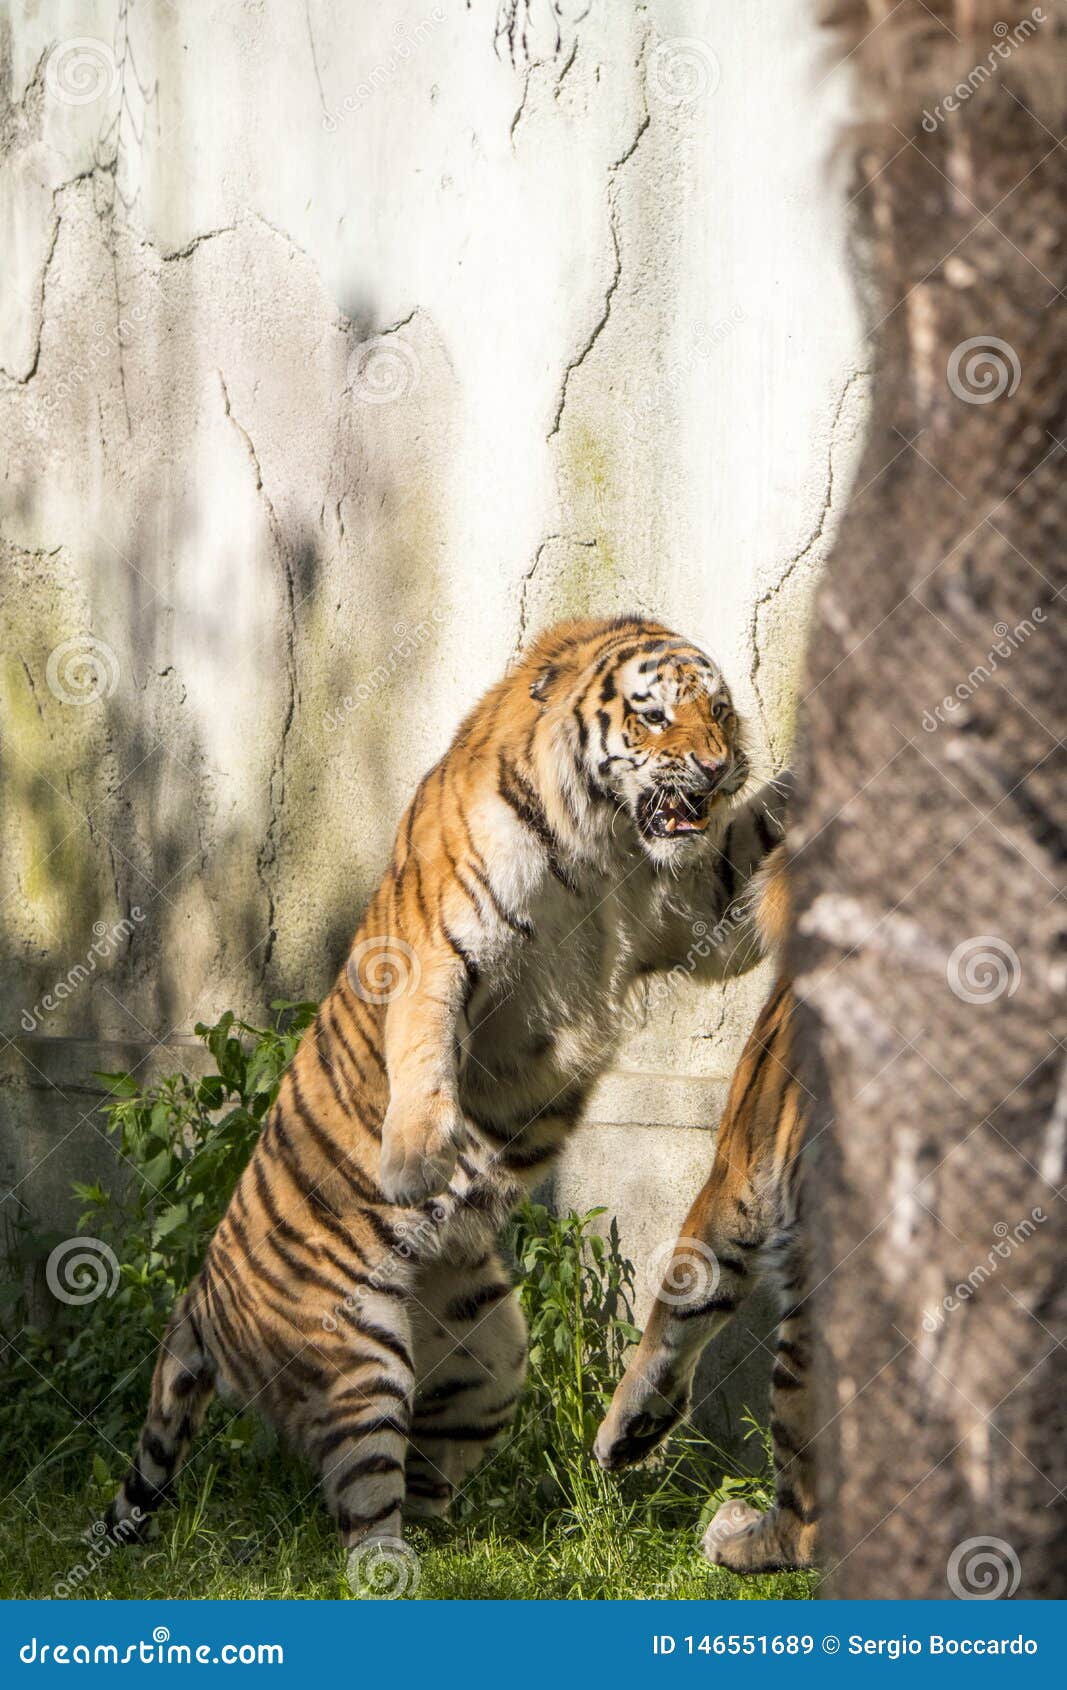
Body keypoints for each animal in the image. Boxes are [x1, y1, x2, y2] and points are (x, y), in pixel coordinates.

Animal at [105, 614, 790, 1558]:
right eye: (654, 717)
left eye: (718, 710)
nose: (720, 768)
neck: (608, 844)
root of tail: (201, 1298)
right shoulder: (435, 948)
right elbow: (423, 1052)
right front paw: (418, 1160)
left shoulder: (692, 909)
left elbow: (763, 829)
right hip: (355, 1361)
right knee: (358, 1518)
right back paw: (401, 1564)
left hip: (488, 1358)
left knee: (422, 1478)